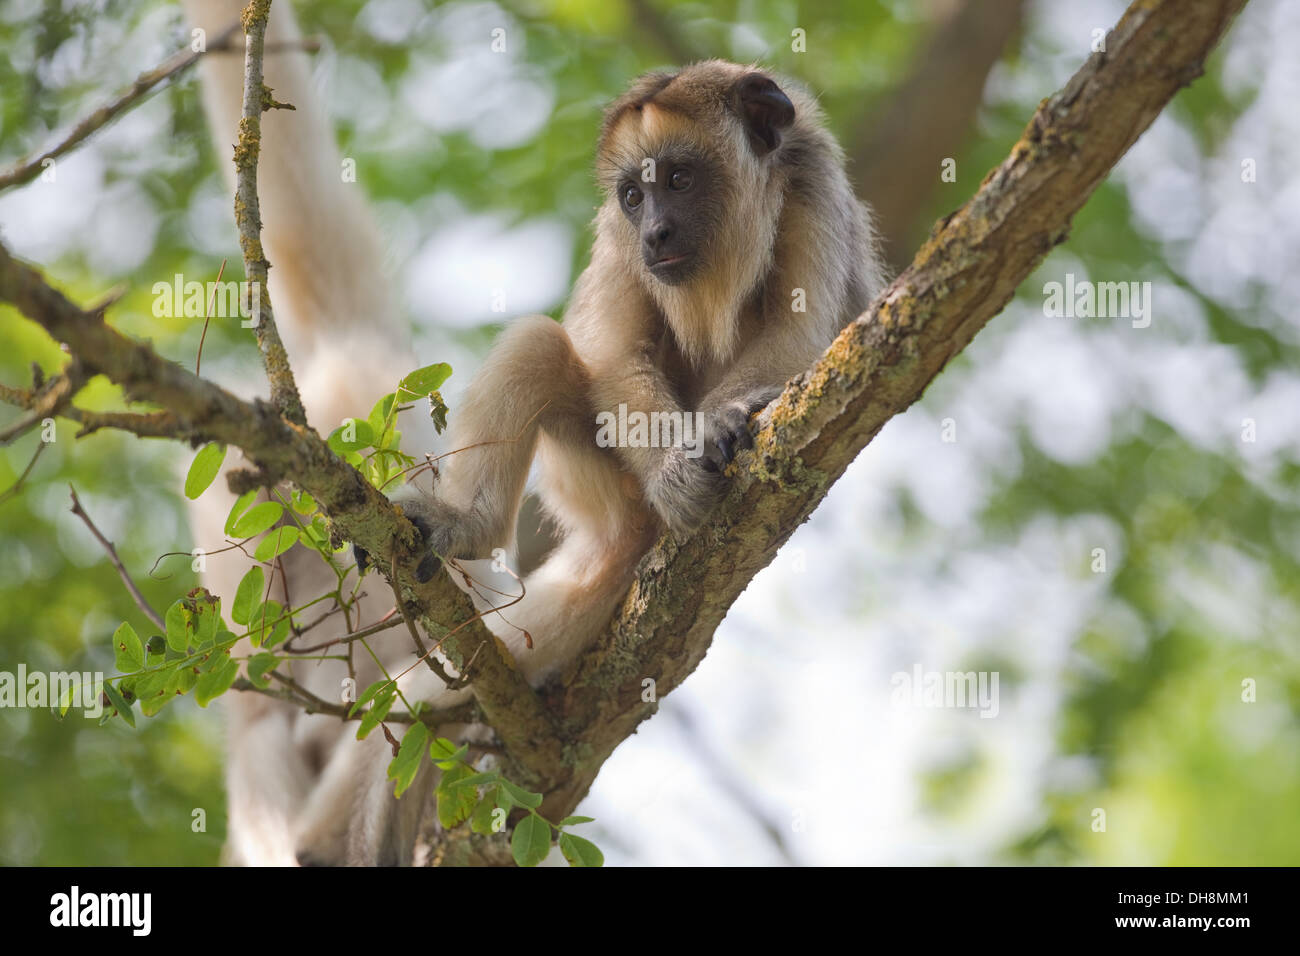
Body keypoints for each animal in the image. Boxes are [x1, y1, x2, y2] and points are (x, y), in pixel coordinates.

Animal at [184, 0, 883, 866]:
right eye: (631, 195)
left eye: (679, 179)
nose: (654, 235)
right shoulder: (616, 244)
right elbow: (611, 353)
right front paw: (680, 465)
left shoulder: (815, 183)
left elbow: (802, 340)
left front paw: (727, 422)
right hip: (595, 483)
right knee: (543, 349)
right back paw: (467, 527)